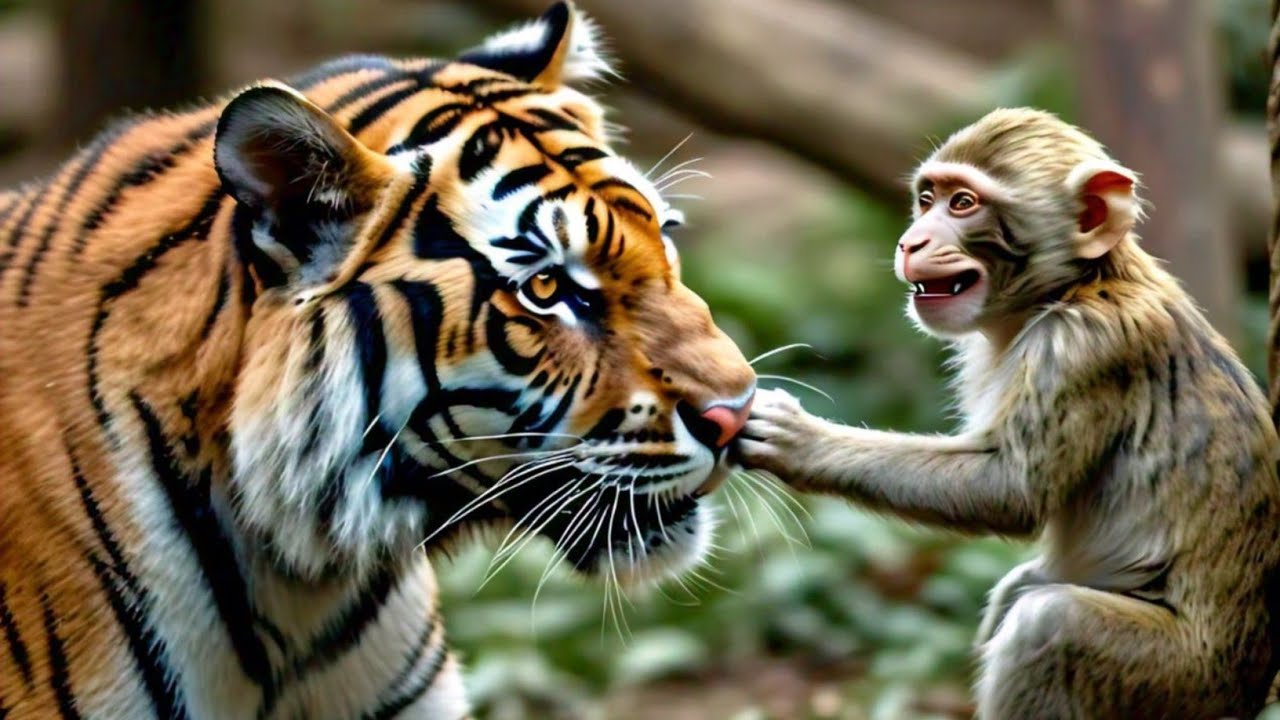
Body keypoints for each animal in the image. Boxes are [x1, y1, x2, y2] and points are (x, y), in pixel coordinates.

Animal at [736, 107, 1280, 719]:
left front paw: (797, 440)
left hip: (1179, 681)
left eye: (963, 204)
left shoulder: (1080, 349)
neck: (1078, 285)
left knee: (1049, 623)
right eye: (928, 198)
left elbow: (1009, 489)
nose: (910, 241)